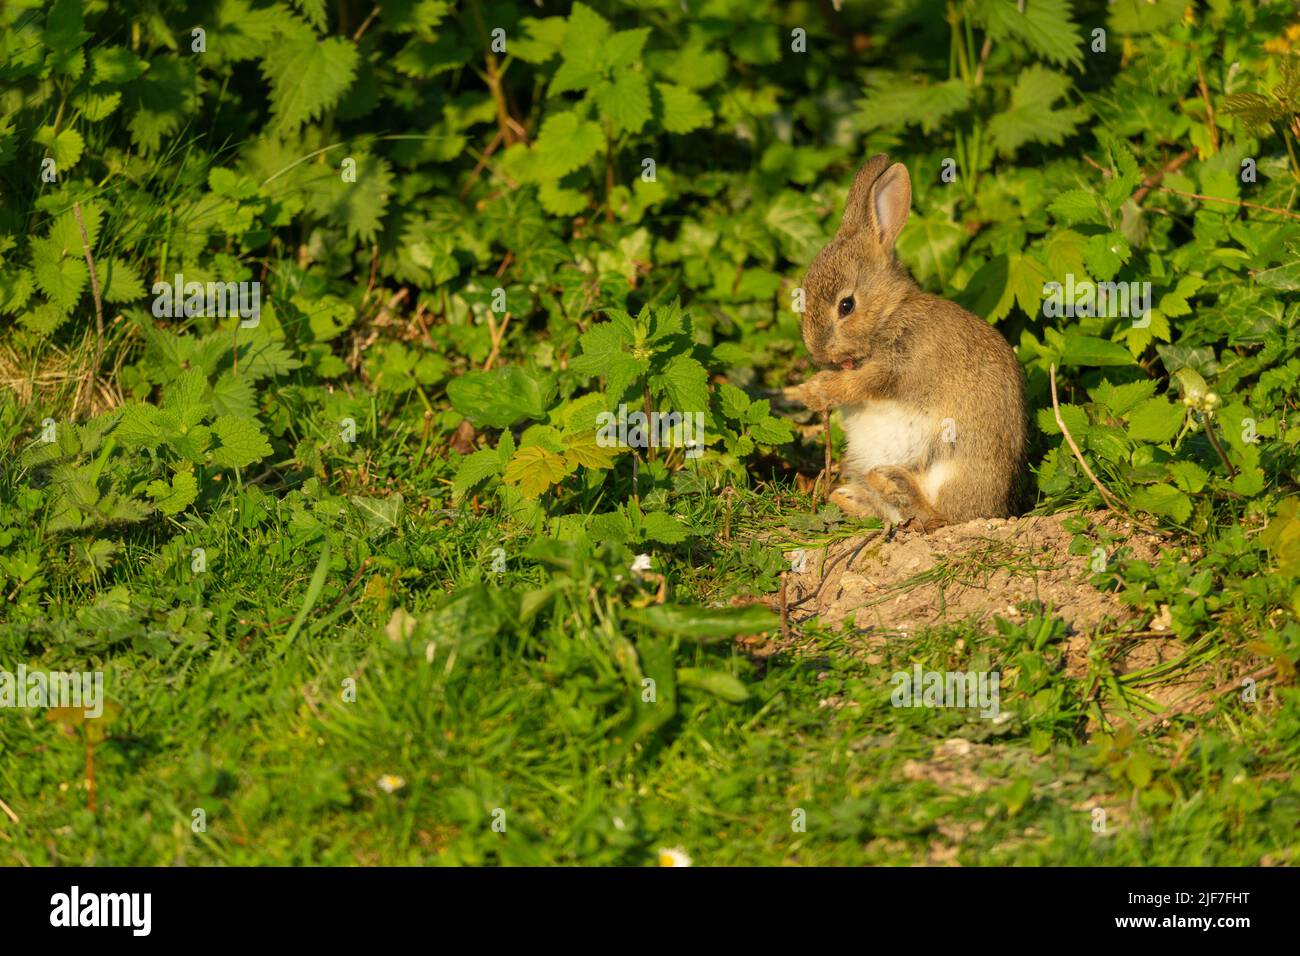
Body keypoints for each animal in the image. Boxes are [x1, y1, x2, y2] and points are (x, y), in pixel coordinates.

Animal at [783, 153, 1026, 532]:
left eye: (846, 306)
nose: (819, 352)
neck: (888, 314)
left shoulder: (901, 366)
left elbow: (861, 383)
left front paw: (813, 391)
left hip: (955, 468)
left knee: (941, 515)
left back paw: (894, 483)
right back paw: (853, 495)